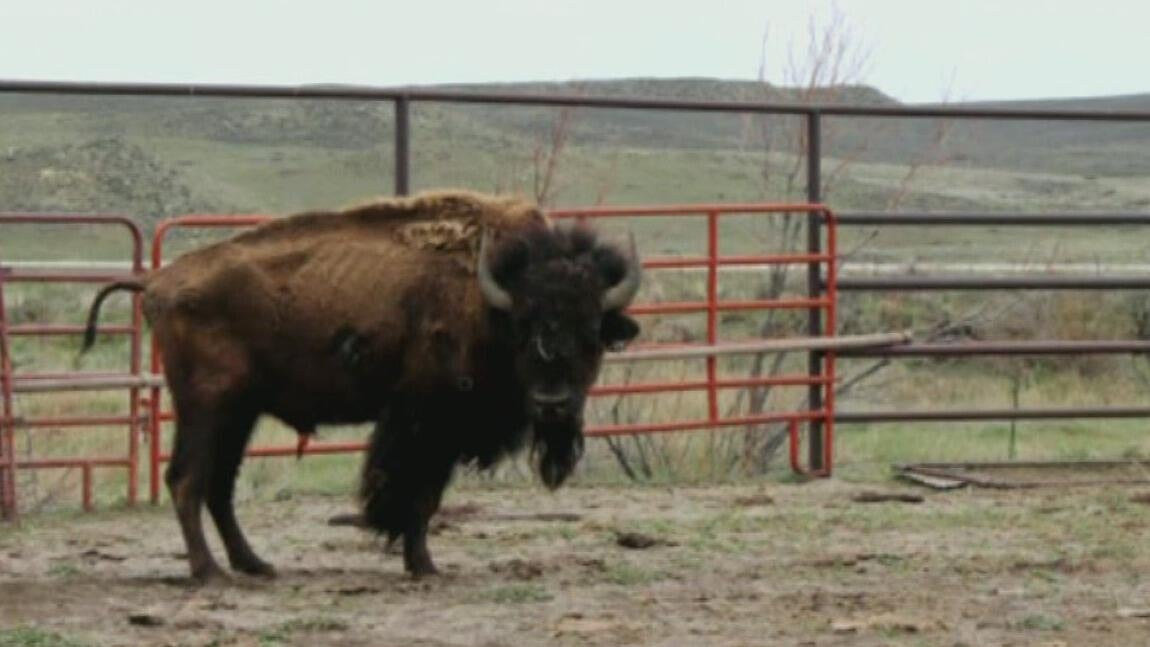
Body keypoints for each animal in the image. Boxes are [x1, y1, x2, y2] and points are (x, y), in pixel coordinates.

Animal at [82, 190, 641, 581]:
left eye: (593, 332)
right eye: (524, 327)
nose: (552, 403)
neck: (489, 301)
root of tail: (159, 281)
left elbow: (424, 497)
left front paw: (419, 562)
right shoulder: (424, 423)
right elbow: (416, 496)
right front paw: (423, 565)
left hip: (239, 413)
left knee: (218, 486)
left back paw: (255, 564)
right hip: (206, 407)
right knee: (187, 479)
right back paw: (209, 572)